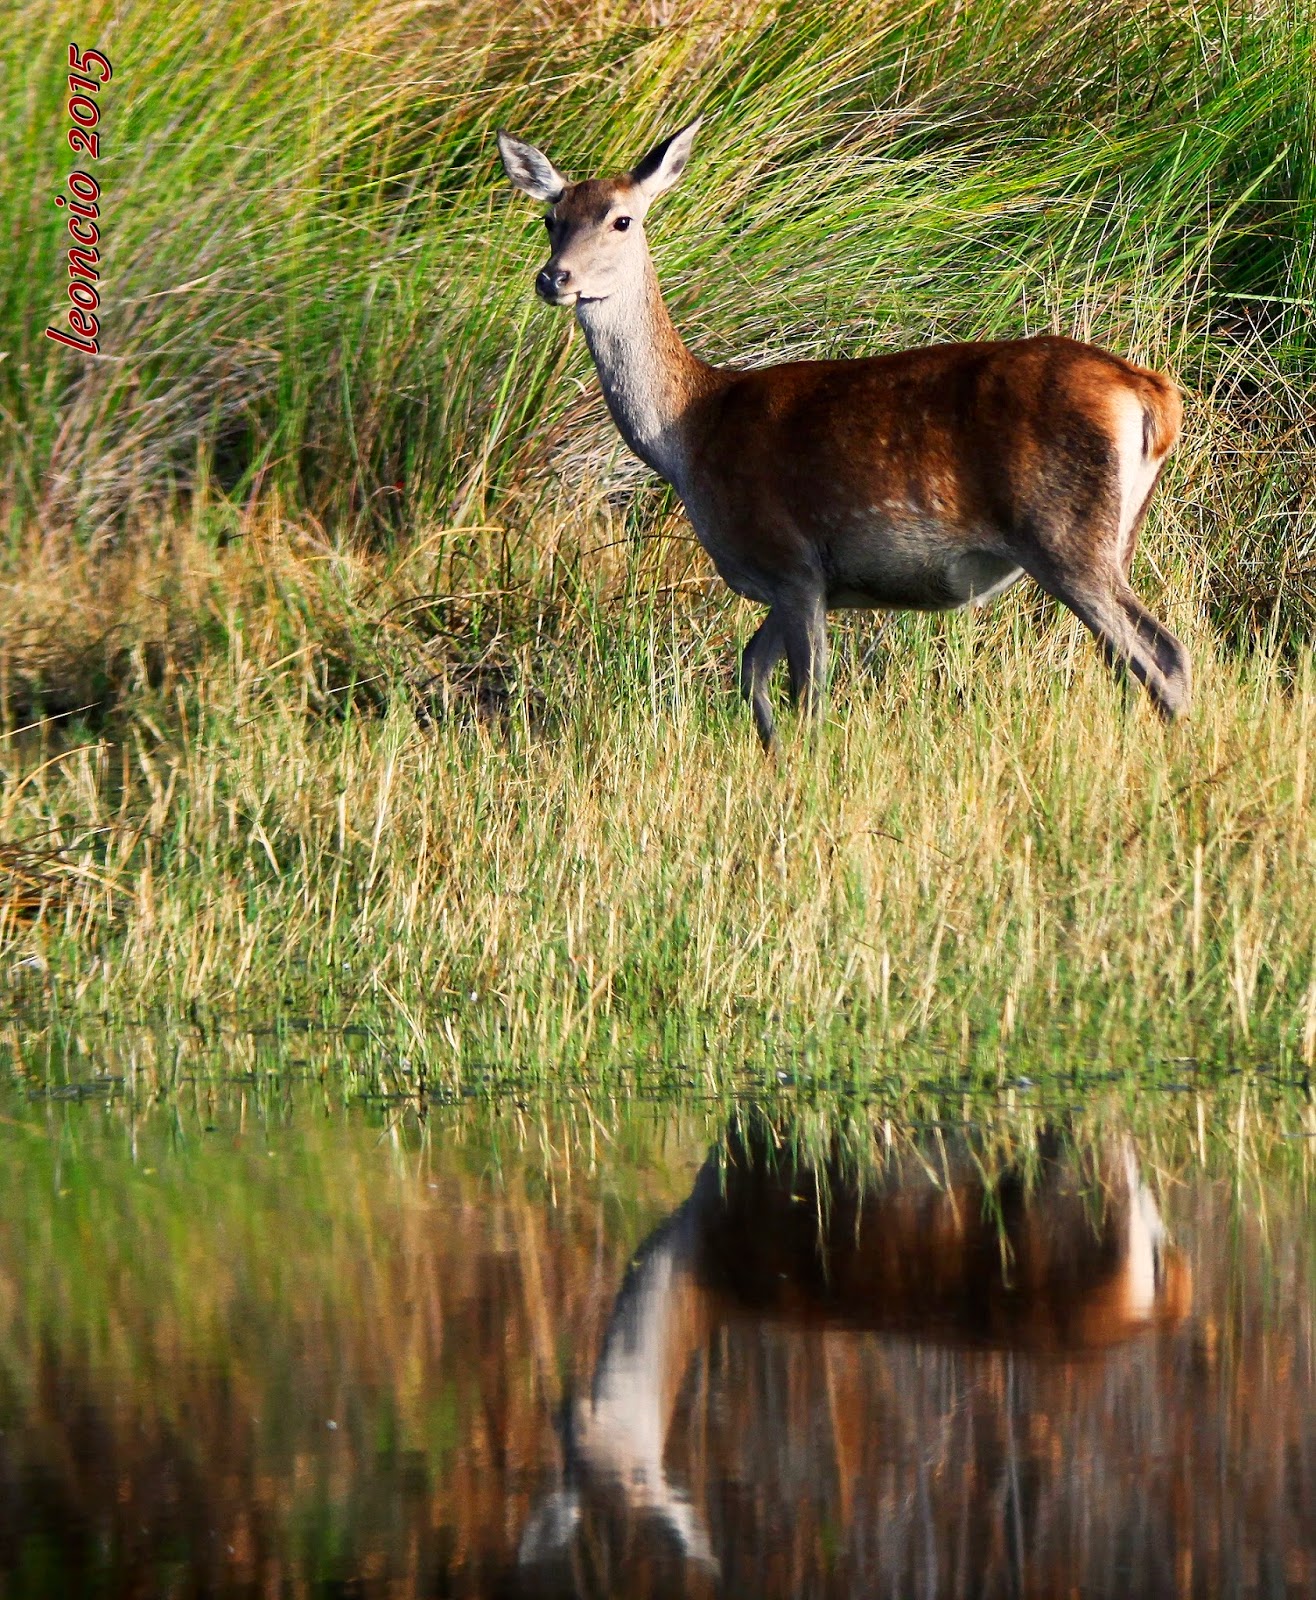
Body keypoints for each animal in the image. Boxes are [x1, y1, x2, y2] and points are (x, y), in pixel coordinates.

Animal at [496, 118, 1190, 749]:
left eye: (621, 220)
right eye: (552, 219)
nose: (553, 278)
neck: (691, 434)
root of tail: (1152, 393)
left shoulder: (791, 559)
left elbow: (809, 695)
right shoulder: (795, 584)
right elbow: (751, 674)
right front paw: (774, 759)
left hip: (1064, 532)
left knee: (1161, 651)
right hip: (1118, 532)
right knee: (1138, 655)